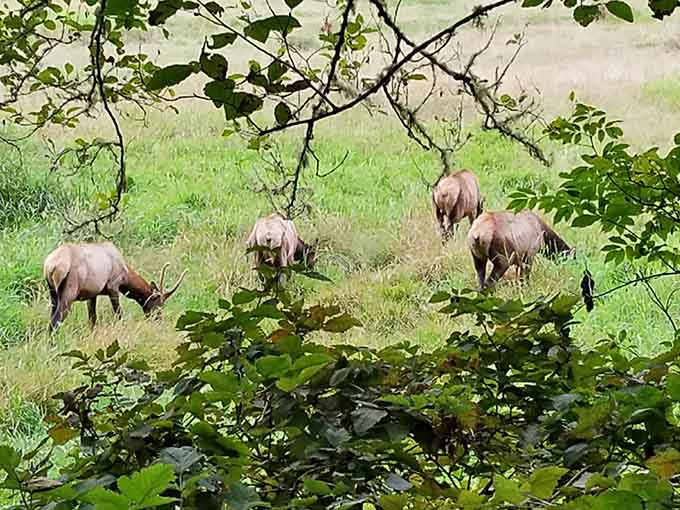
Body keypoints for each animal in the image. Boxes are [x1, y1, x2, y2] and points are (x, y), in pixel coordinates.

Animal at [43, 242, 187, 331]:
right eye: (159, 304)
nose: (158, 320)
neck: (126, 275)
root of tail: (51, 265)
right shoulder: (113, 286)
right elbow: (119, 314)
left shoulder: (92, 293)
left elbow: (92, 318)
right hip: (69, 292)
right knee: (55, 322)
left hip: (52, 293)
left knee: (51, 319)